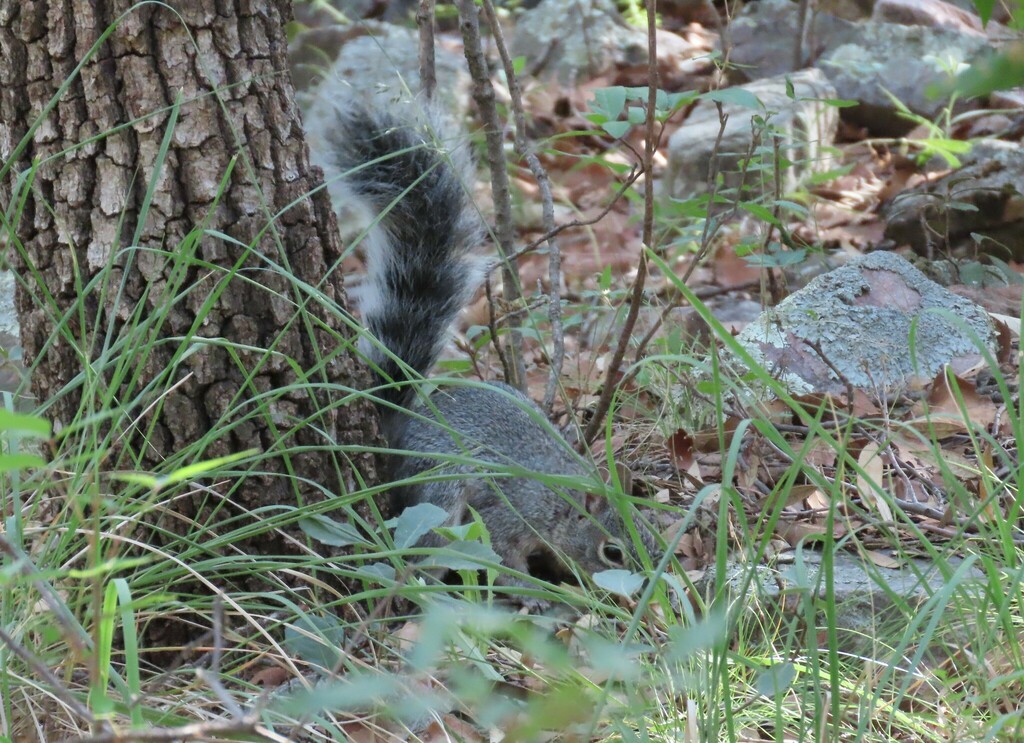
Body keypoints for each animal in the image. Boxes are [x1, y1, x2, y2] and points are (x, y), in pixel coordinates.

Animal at [325, 103, 661, 599]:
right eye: (612, 552)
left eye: (652, 537)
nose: (644, 597)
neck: (558, 499)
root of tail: (397, 428)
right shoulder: (506, 515)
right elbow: (503, 558)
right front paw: (539, 593)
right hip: (438, 495)